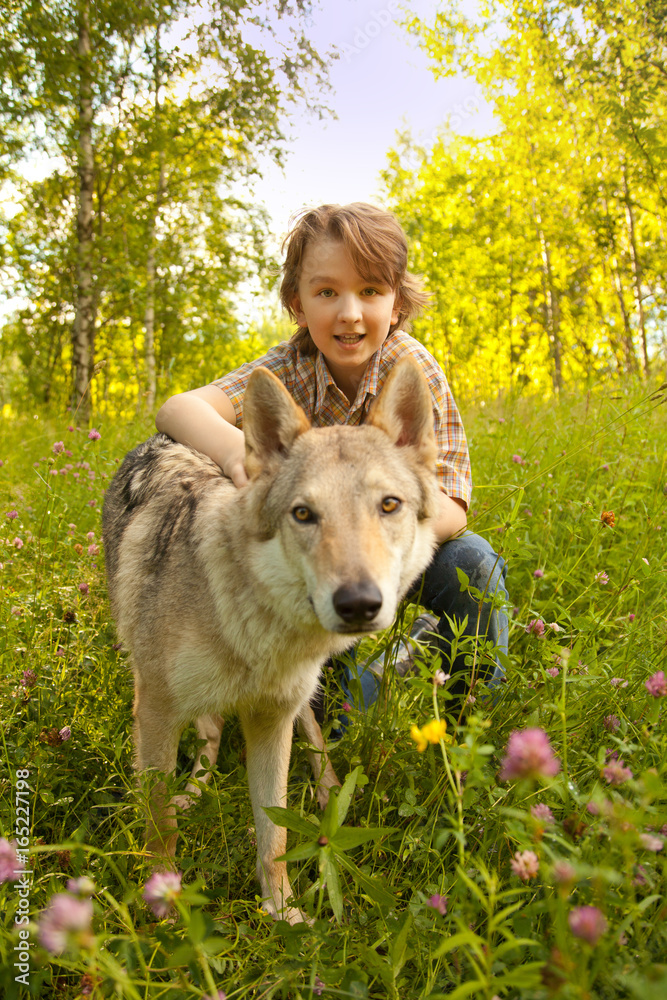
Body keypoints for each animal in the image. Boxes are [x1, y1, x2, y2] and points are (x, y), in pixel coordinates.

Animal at [102, 357, 440, 923]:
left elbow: (275, 835)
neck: (246, 621)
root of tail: (159, 437)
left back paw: (330, 794)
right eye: (303, 514)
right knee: (210, 733)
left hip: (297, 703)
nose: (358, 604)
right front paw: (167, 909)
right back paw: (194, 791)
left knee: (313, 734)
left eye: (389, 505)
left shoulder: (272, 720)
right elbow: (161, 826)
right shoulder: (155, 712)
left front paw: (282, 913)